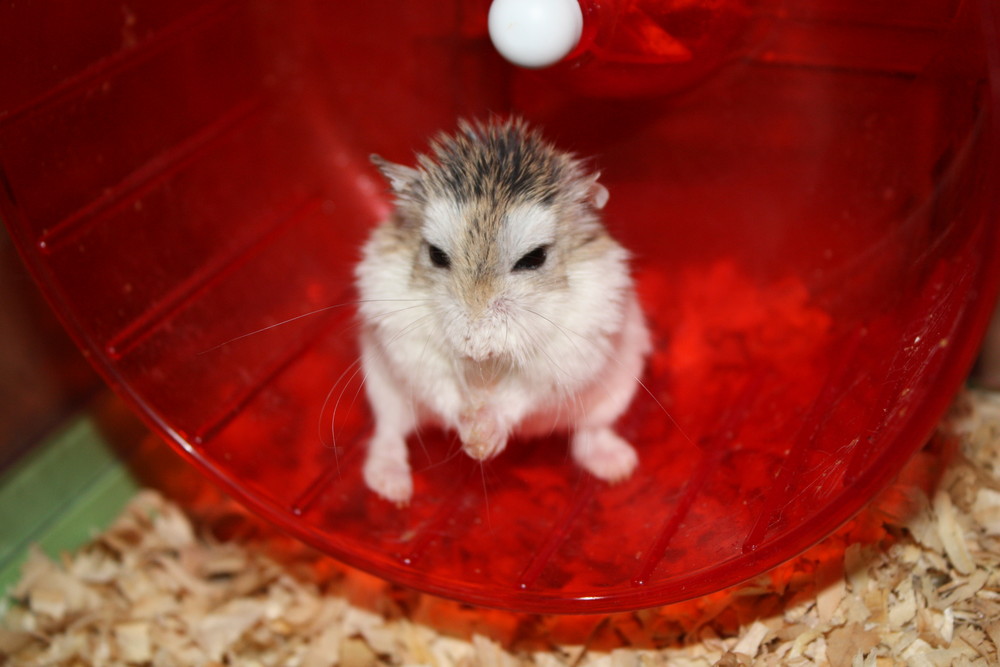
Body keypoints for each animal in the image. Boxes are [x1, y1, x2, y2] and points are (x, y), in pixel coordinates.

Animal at [354, 117, 651, 504]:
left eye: (534, 258)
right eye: (436, 255)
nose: (474, 347)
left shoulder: (570, 353)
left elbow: (523, 392)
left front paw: (485, 439)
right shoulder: (408, 346)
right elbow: (442, 386)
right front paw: (472, 435)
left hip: (615, 390)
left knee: (590, 430)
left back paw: (618, 467)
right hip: (383, 389)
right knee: (390, 431)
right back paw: (393, 489)